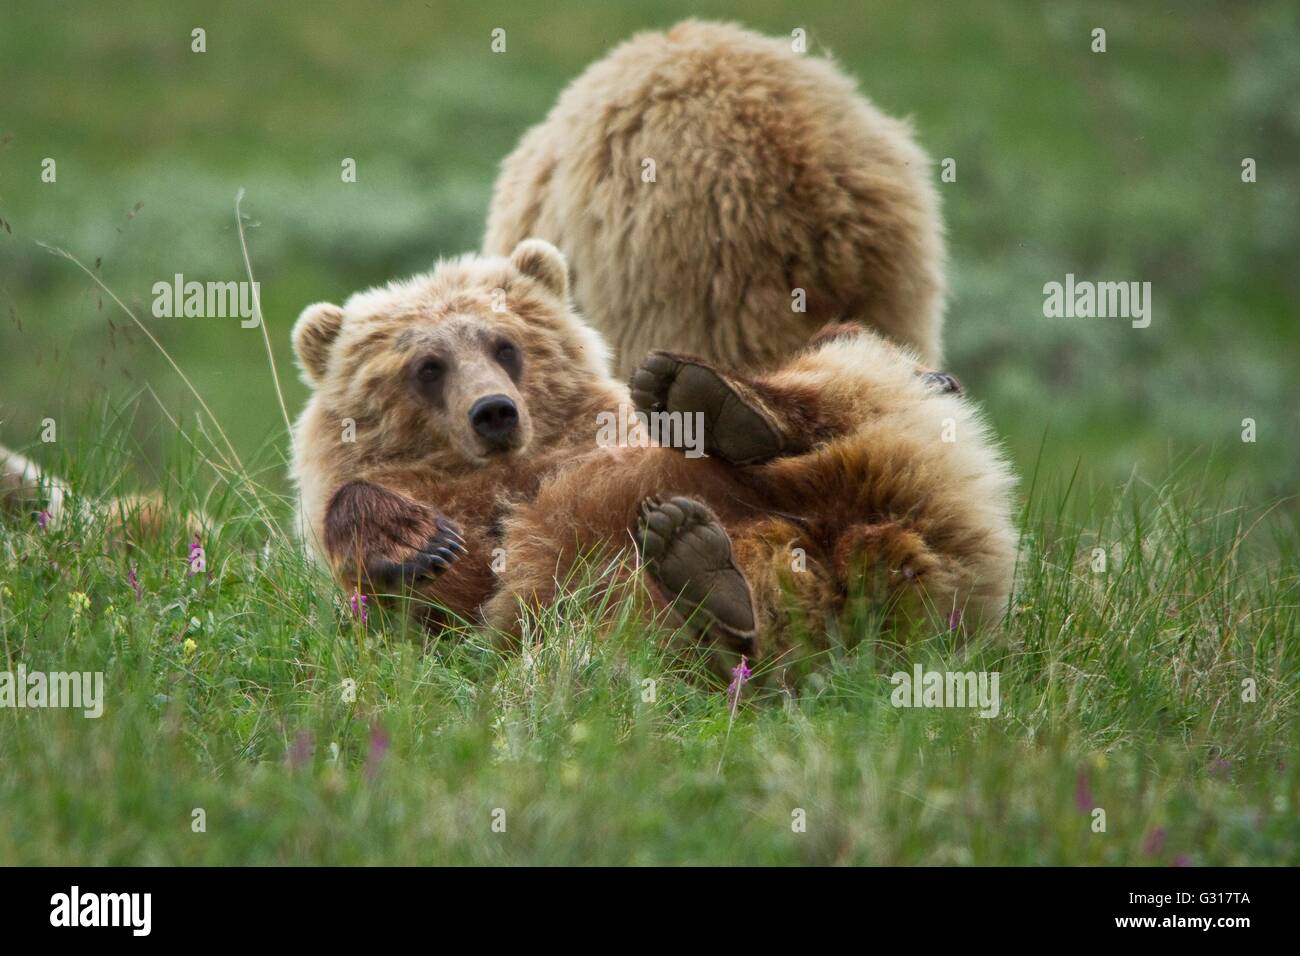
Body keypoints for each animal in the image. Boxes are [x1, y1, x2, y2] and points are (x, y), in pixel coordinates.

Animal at [291, 240, 1017, 688]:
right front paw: (414, 540)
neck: (514, 473)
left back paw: (715, 402)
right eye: (428, 365)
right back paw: (704, 568)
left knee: (835, 364)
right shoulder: (478, 572)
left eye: (504, 344)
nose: (494, 412)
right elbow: (440, 594)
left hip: (872, 419)